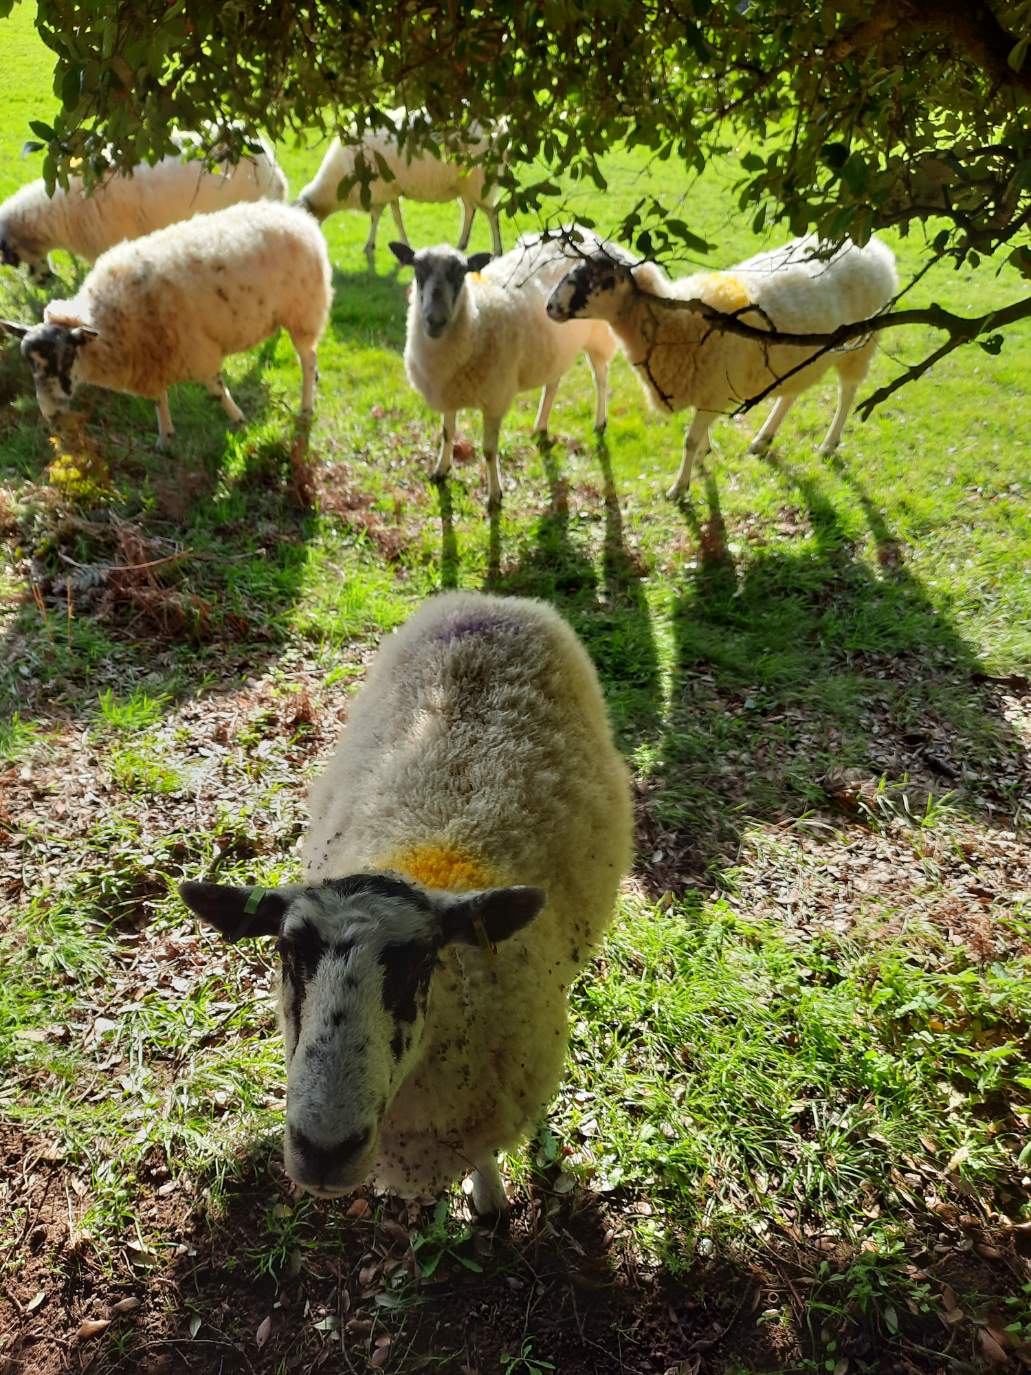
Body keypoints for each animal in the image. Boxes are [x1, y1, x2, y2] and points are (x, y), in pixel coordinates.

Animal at [1, 200, 331, 447]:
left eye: (67, 355)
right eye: (29, 363)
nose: (51, 414)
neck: (112, 315)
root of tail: (296, 216)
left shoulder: (197, 351)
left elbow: (216, 390)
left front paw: (238, 419)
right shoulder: (152, 359)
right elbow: (159, 399)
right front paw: (165, 437)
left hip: (303, 310)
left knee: (308, 360)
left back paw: (306, 407)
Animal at [179, 590, 633, 1215]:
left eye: (419, 963)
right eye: (287, 953)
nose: (324, 1151)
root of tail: (491, 601)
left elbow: (486, 1154)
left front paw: (490, 1201)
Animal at [296, 109, 504, 270]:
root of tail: (497, 128)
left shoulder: (378, 191)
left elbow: (380, 217)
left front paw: (370, 246)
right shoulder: (390, 191)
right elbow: (396, 218)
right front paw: (399, 244)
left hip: (480, 182)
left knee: (492, 214)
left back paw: (497, 251)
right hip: (467, 187)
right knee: (470, 210)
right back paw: (461, 245)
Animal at [391, 227, 618, 509]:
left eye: (461, 273)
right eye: (418, 270)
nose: (435, 320)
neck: (476, 321)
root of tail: (585, 234)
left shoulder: (494, 399)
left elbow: (489, 451)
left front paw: (495, 495)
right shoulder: (449, 393)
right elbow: (447, 433)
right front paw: (440, 470)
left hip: (598, 335)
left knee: (601, 378)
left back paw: (600, 422)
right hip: (553, 350)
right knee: (553, 384)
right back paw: (541, 426)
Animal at [546, 234, 899, 498]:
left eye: (603, 279)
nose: (549, 307)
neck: (674, 320)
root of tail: (878, 250)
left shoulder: (714, 392)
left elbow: (688, 440)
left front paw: (680, 487)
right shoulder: (704, 388)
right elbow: (698, 436)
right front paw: (705, 454)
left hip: (861, 344)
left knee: (847, 392)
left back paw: (828, 444)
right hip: (804, 357)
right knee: (791, 394)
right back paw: (763, 439)